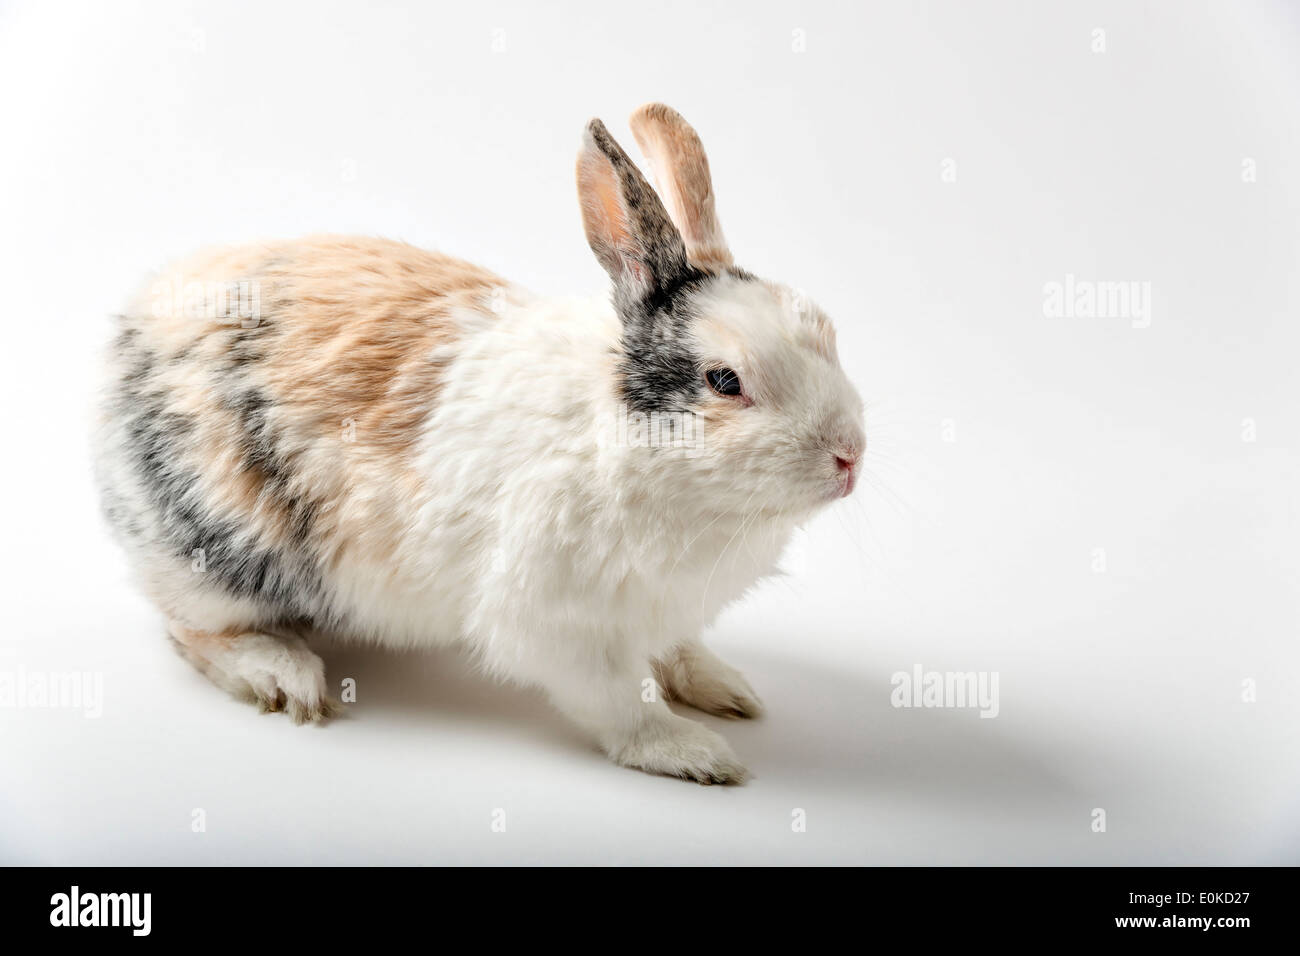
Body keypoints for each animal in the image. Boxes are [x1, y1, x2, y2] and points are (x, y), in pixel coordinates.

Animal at [93, 103, 865, 784]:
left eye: (826, 329)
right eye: (724, 380)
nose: (850, 458)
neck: (625, 436)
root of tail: (139, 320)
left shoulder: (665, 610)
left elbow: (677, 653)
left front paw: (729, 691)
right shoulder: (558, 621)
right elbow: (620, 703)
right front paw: (695, 755)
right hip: (218, 557)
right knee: (192, 632)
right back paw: (284, 676)